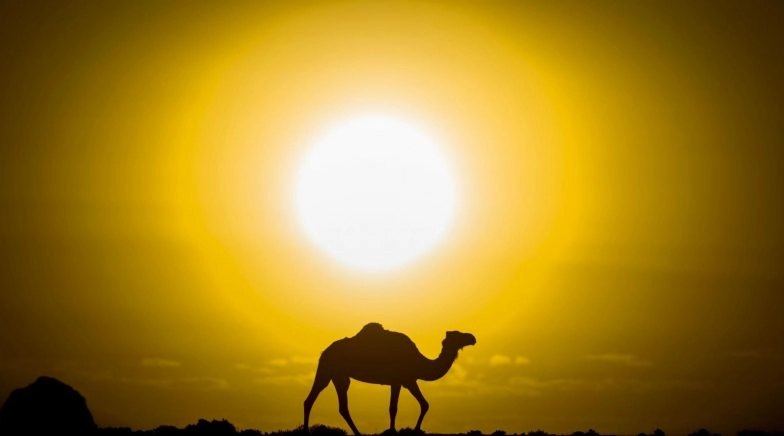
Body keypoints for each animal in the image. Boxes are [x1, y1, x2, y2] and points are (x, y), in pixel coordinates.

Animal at [303, 323, 477, 435]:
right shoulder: (397, 380)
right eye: (458, 335)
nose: (472, 337)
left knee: (334, 404)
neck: (418, 361)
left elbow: (424, 404)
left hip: (337, 375)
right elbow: (393, 408)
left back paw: (357, 433)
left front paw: (415, 430)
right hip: (327, 369)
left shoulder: (408, 380)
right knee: (314, 399)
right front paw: (393, 431)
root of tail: (325, 351)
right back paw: (307, 432)